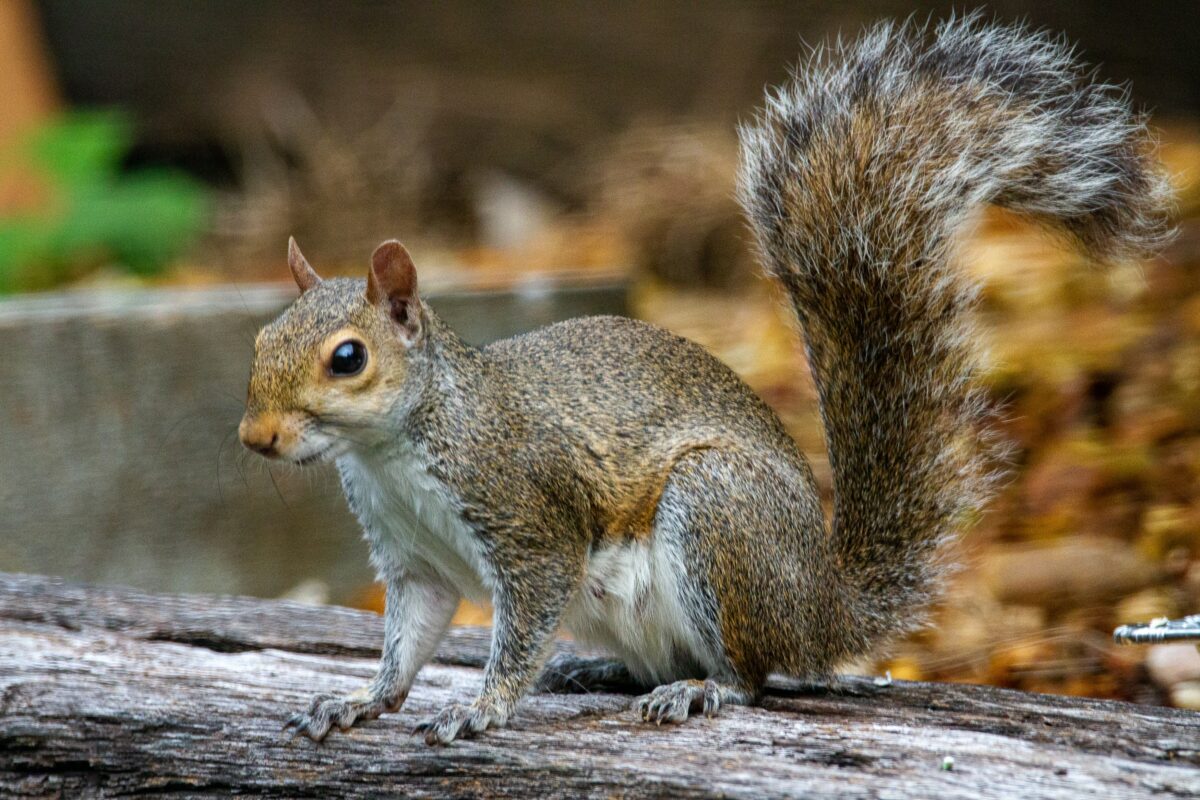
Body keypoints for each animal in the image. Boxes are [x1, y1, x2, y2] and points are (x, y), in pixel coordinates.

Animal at [239, 16, 1171, 746]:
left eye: (348, 357)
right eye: (257, 340)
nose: (255, 438)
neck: (395, 448)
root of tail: (824, 606)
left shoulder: (528, 518)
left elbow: (523, 621)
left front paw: (482, 707)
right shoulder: (414, 562)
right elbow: (406, 644)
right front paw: (359, 702)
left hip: (717, 516)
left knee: (756, 676)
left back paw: (699, 688)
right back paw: (601, 674)